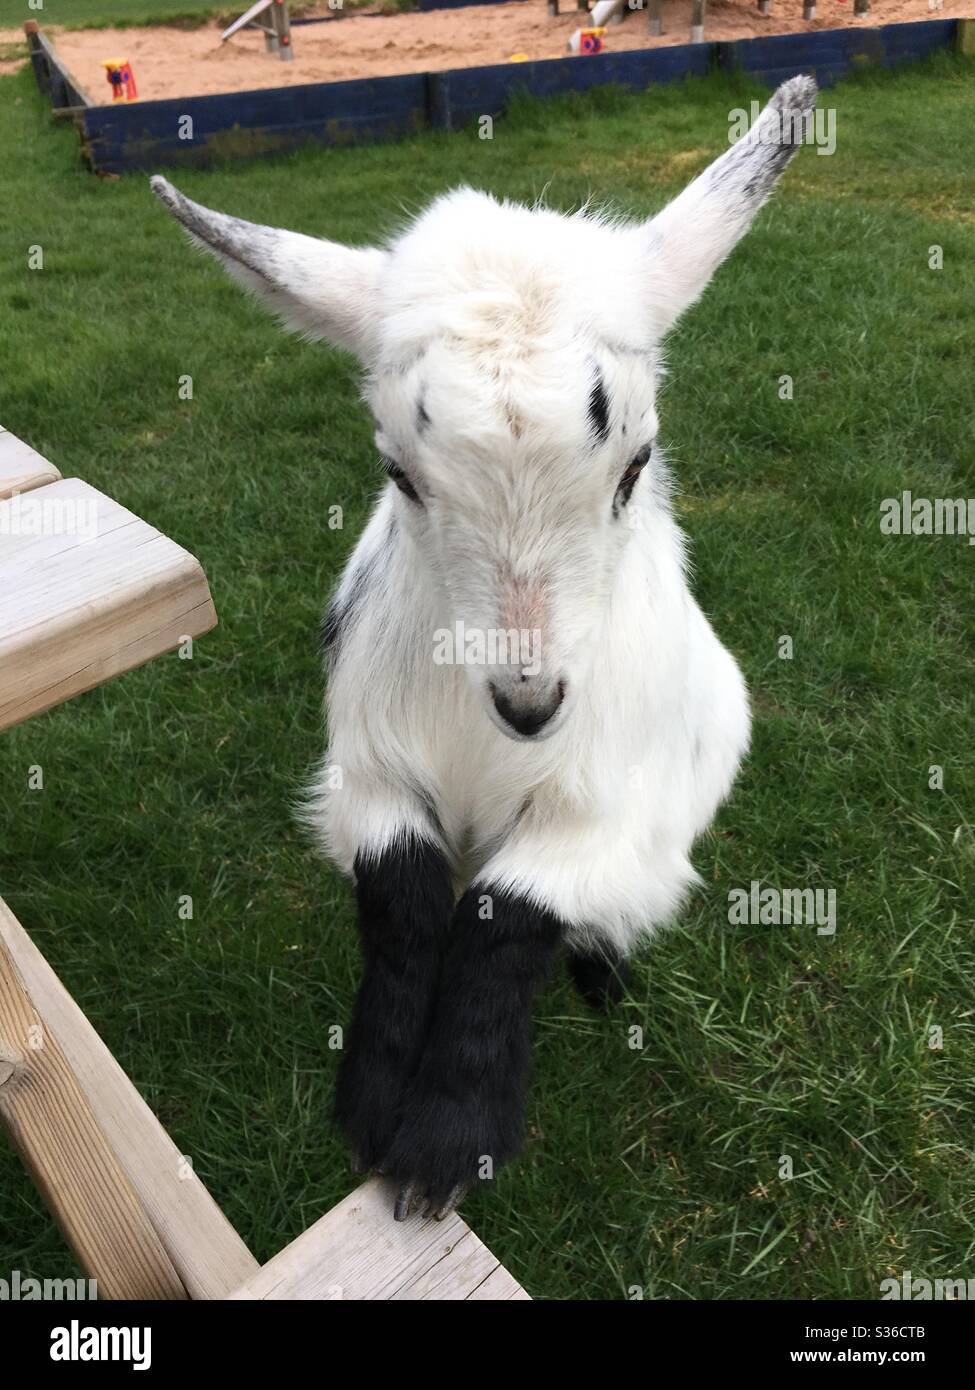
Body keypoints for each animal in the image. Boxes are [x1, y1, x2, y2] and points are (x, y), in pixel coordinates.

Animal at [152, 74, 817, 1221]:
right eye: (399, 472)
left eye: (635, 460)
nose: (529, 701)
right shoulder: (363, 776)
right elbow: (405, 894)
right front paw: (375, 1100)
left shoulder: (606, 815)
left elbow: (510, 915)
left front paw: (447, 1144)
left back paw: (606, 977)